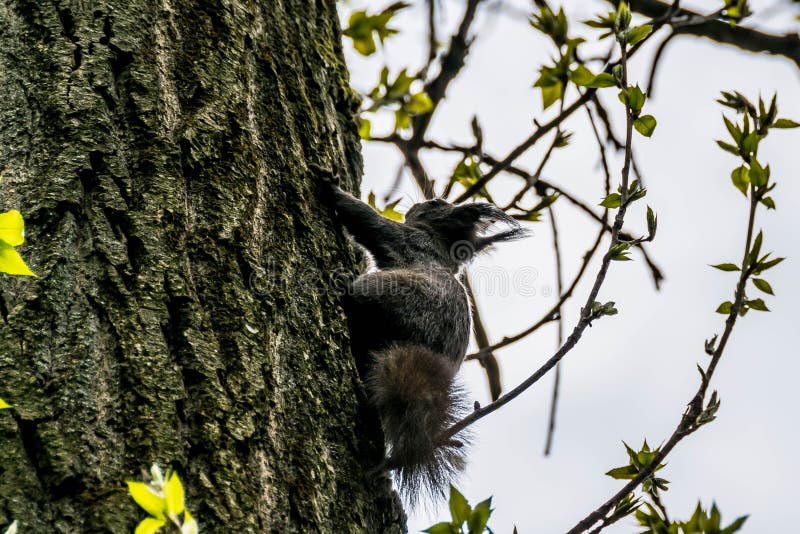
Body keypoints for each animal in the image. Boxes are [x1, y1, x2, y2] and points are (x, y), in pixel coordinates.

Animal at [317, 167, 526, 507]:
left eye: (435, 202)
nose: (414, 205)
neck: (440, 246)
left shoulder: (406, 239)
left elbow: (369, 222)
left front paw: (332, 189)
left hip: (393, 294)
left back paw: (343, 287)